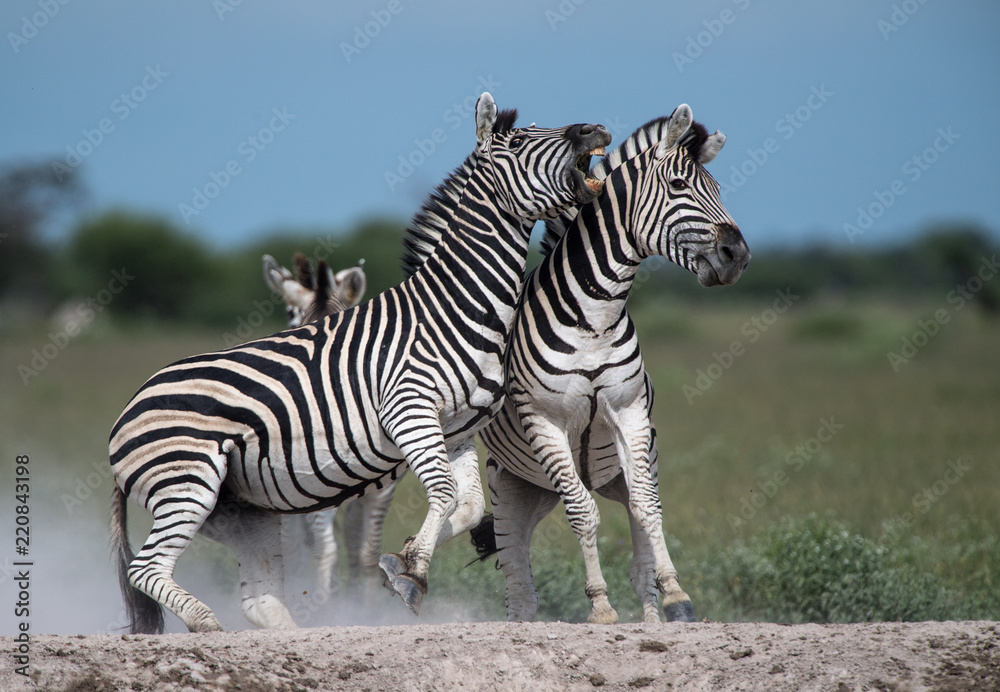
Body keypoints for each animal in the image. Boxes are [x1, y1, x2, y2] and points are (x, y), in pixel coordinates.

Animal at [109, 92, 612, 633]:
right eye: (518, 143)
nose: (595, 129)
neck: (451, 307)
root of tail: (127, 409)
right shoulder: (408, 409)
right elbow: (443, 493)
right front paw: (414, 573)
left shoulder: (457, 429)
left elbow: (466, 505)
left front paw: (405, 563)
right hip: (187, 481)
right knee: (146, 567)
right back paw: (206, 625)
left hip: (240, 508)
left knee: (257, 595)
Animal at [468, 104, 750, 624]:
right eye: (678, 185)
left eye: (719, 190)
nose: (737, 256)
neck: (594, 319)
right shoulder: (546, 422)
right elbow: (582, 513)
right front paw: (599, 606)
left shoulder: (629, 411)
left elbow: (648, 508)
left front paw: (677, 595)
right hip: (512, 488)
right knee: (520, 587)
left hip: (614, 470)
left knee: (637, 548)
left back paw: (655, 611)